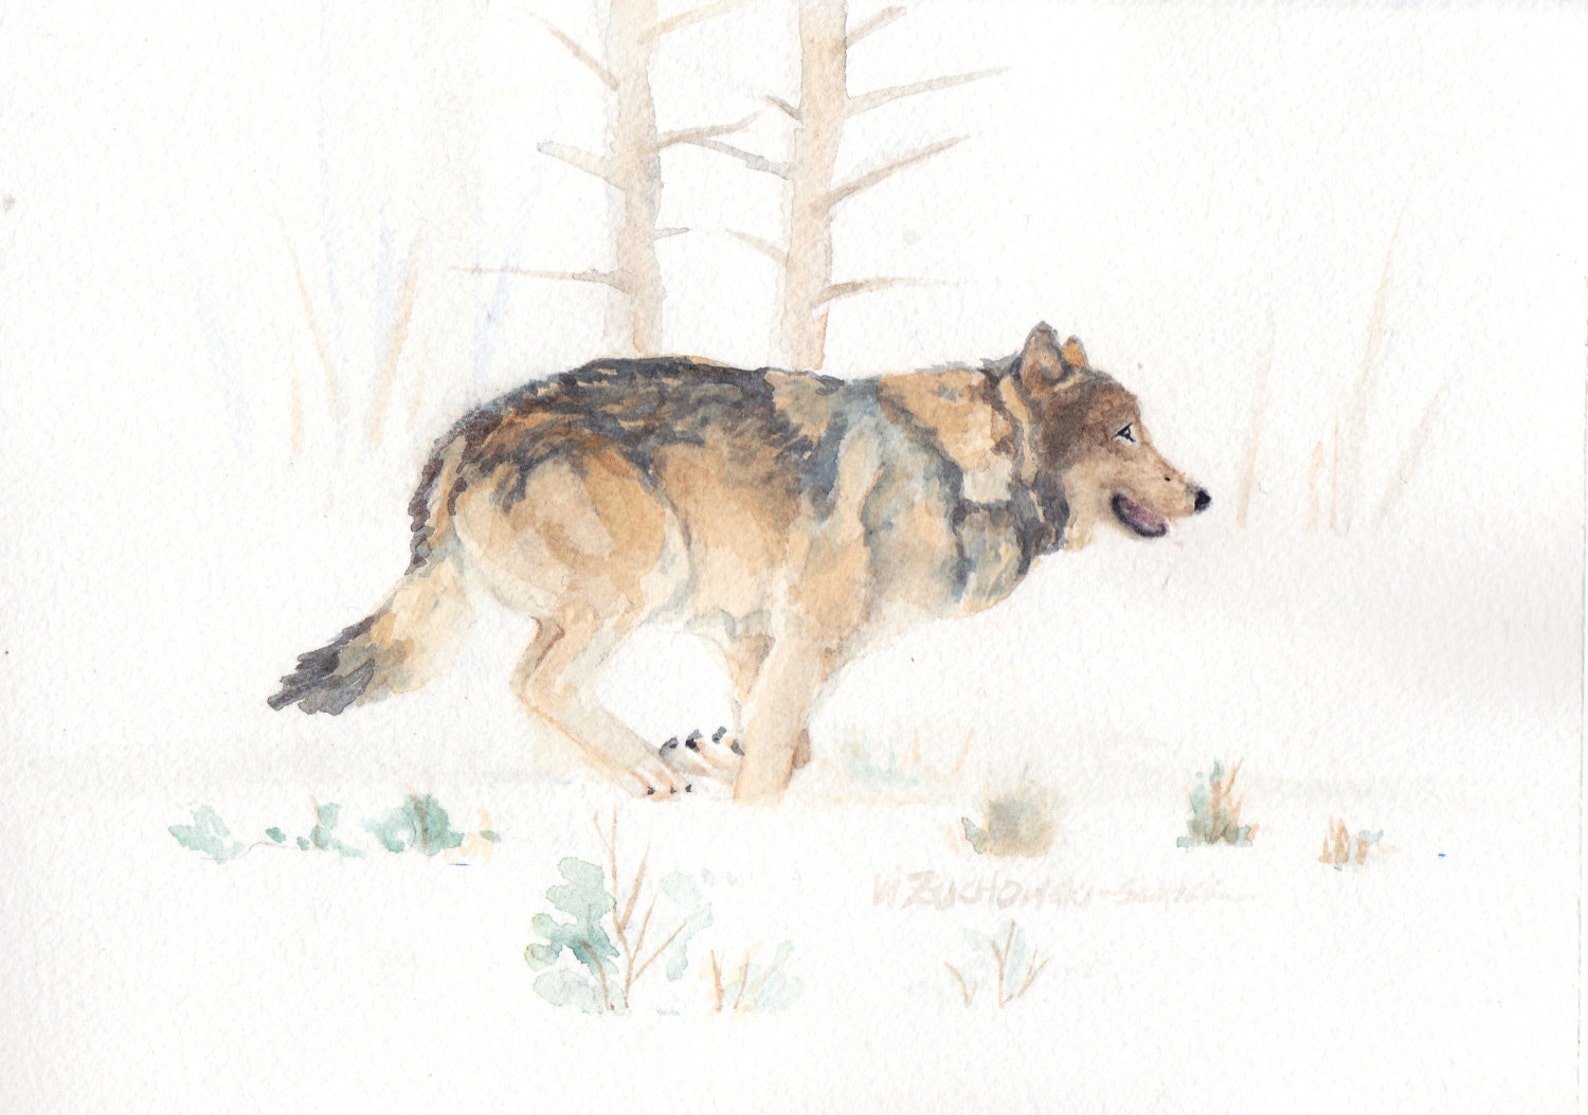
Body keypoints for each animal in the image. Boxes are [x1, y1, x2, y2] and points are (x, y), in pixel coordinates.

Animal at [268, 323, 1209, 803]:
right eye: (1127, 432)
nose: (1201, 496)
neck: (963, 465)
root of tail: (464, 437)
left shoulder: (750, 632)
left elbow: (784, 743)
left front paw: (716, 748)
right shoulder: (807, 636)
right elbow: (774, 760)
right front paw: (750, 814)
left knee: (539, 688)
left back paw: (658, 763)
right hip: (641, 577)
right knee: (538, 684)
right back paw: (648, 770)